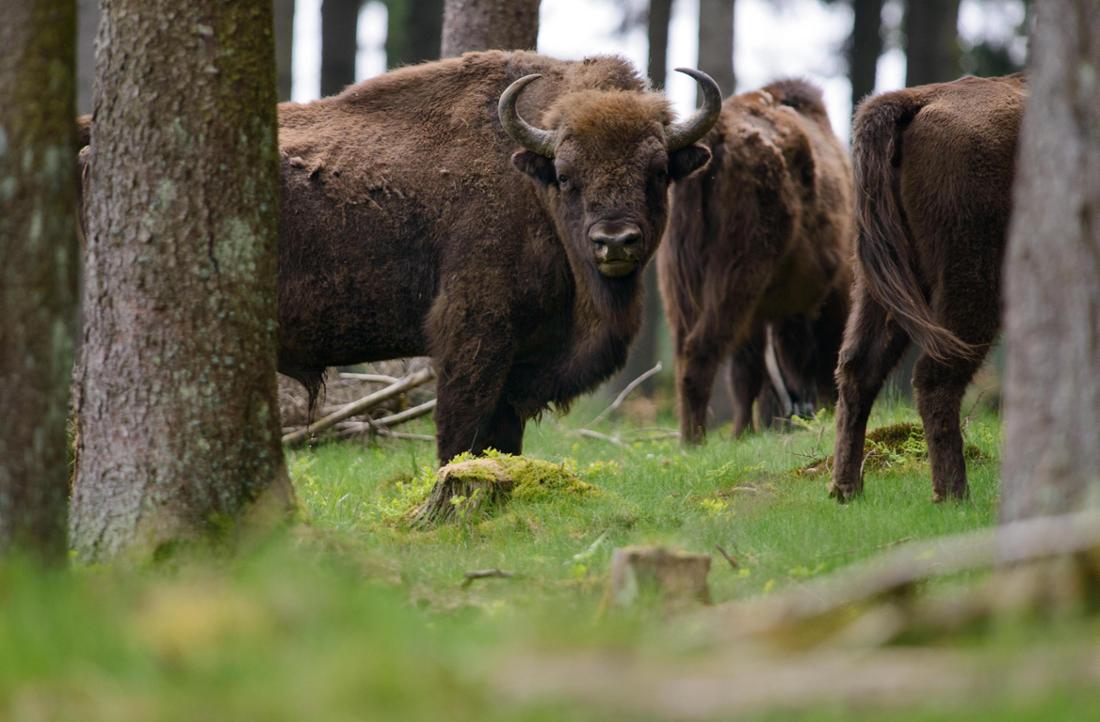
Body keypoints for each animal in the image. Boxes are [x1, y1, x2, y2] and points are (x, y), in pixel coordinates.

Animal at [657, 79, 853, 443]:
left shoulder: (761, 314)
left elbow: (747, 373)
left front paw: (742, 432)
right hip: (736, 277)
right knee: (701, 351)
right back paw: (695, 442)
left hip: (680, 285)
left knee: (686, 353)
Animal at [830, 73, 1027, 502]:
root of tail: (916, 98)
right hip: (970, 277)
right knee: (936, 377)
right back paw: (953, 493)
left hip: (882, 279)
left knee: (858, 366)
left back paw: (845, 489)